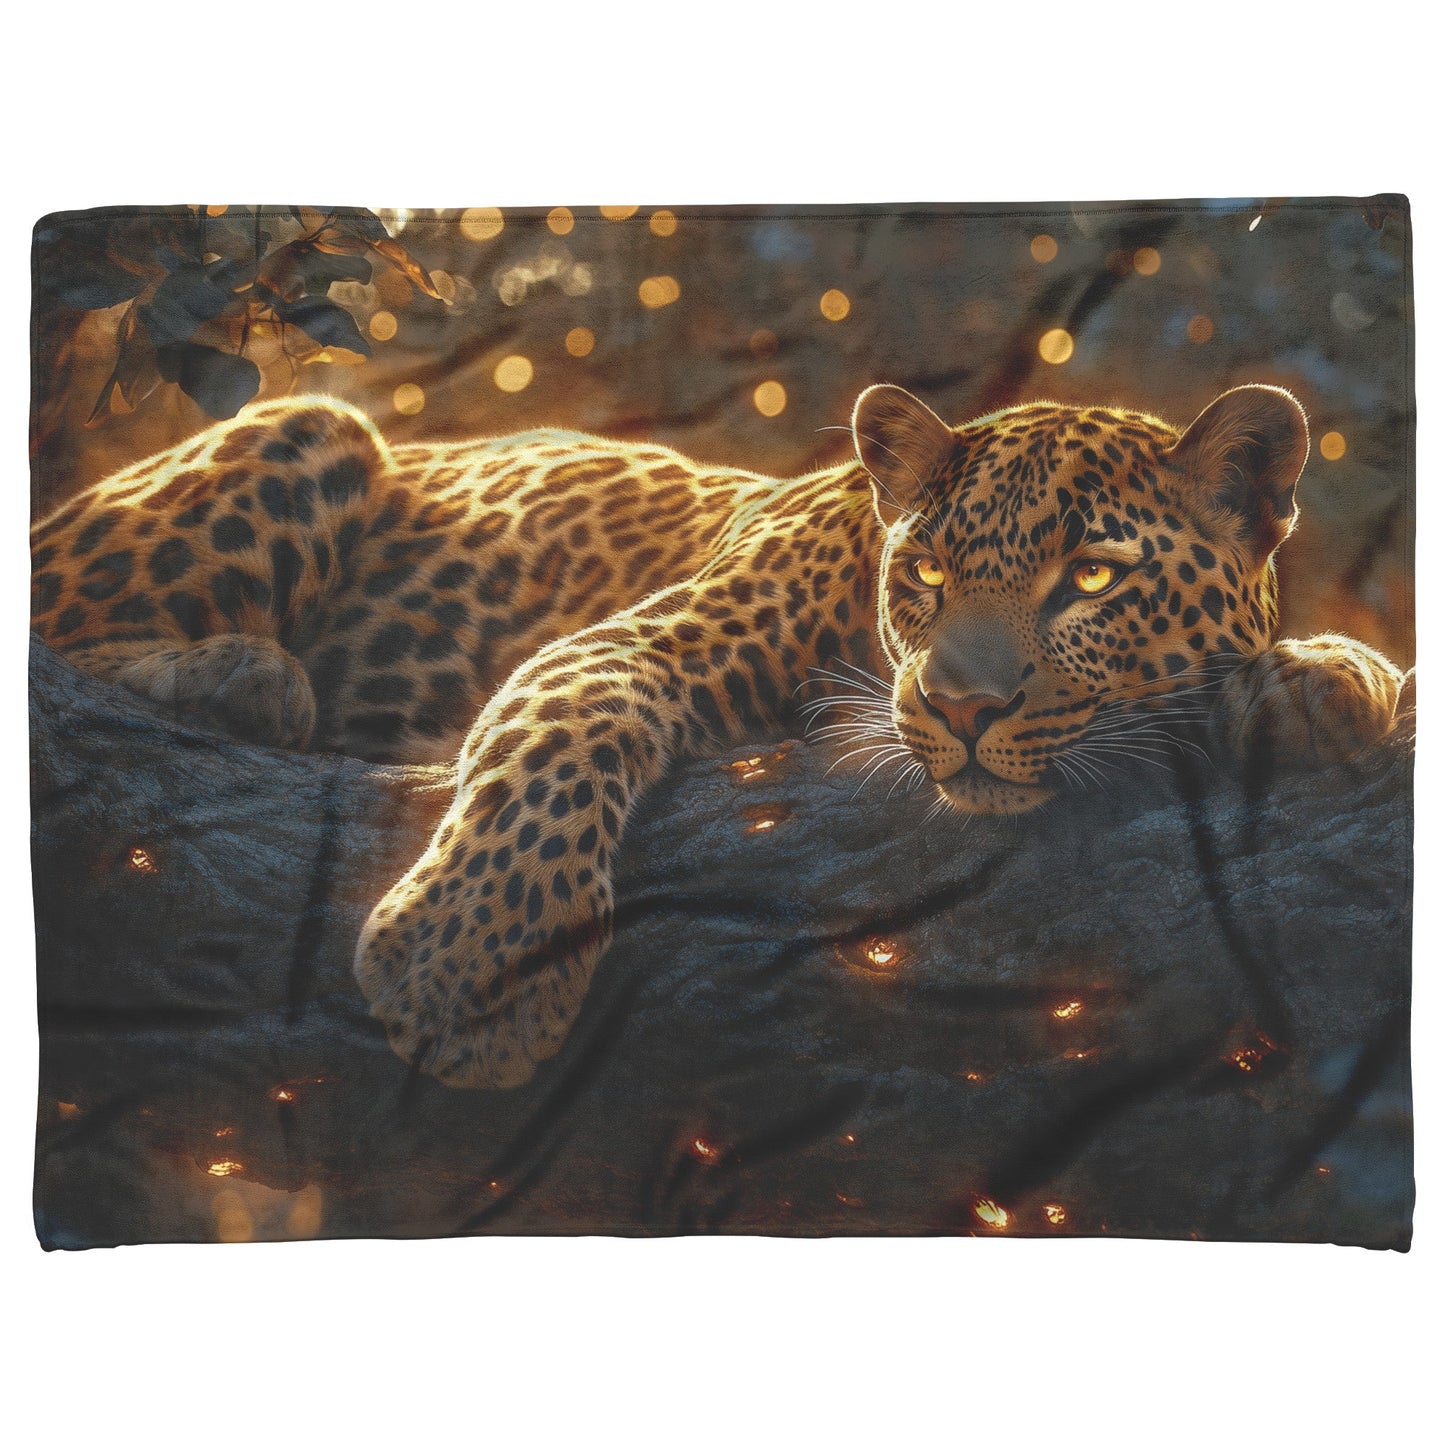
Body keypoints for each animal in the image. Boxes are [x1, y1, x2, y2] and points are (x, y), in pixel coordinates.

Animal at [30, 382, 1405, 1088]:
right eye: (928, 571)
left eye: (1092, 578)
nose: (960, 705)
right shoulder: (635, 644)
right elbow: (559, 734)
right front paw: (473, 965)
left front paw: (1322, 676)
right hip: (306, 422)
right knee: (56, 633)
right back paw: (246, 676)